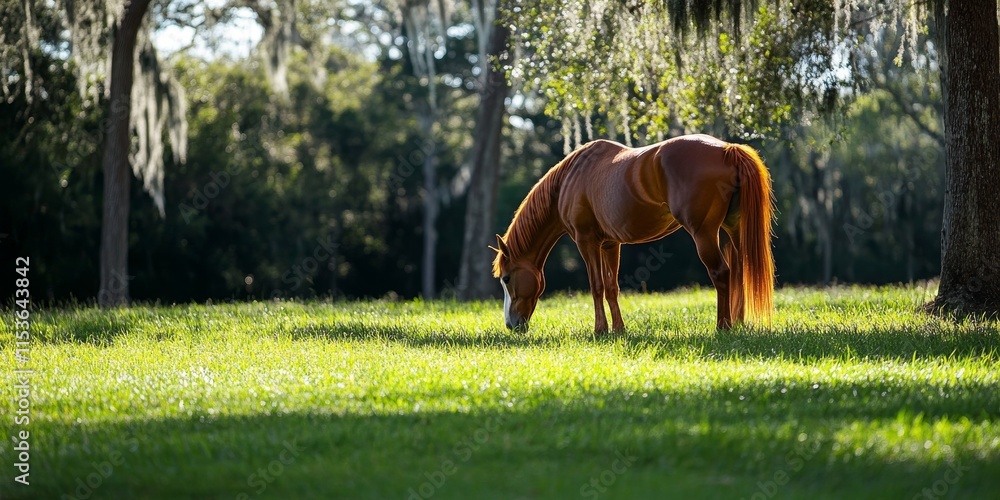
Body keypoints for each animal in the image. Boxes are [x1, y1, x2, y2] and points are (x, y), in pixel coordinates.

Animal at [490, 134, 775, 333]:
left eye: (506, 278)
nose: (511, 325)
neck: (570, 179)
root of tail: (727, 150)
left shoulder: (586, 241)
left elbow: (596, 286)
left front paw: (600, 330)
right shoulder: (609, 245)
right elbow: (611, 287)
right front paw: (618, 329)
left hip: (704, 234)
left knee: (721, 273)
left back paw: (723, 326)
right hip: (733, 230)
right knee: (739, 271)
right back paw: (739, 323)